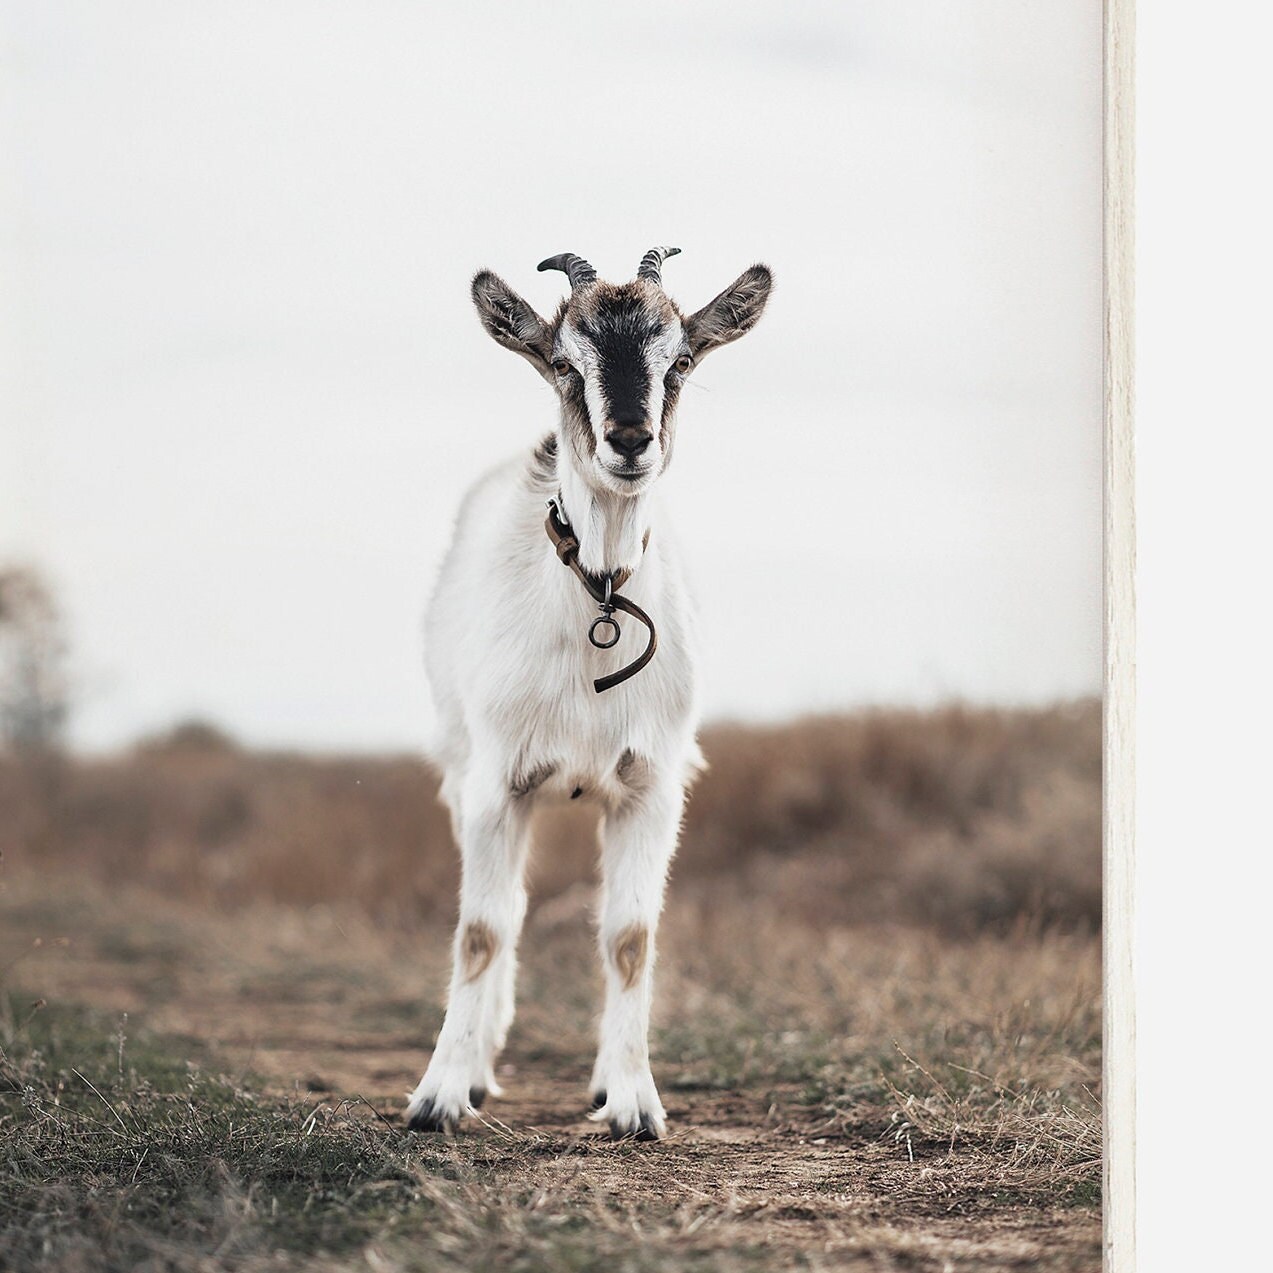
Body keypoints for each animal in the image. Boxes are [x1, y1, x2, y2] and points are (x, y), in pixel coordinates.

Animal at [406, 247, 772, 1140]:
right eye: (563, 363)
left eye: (680, 361)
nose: (630, 440)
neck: (598, 591)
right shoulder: (496, 784)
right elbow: (480, 930)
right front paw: (439, 1095)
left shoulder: (651, 786)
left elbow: (629, 936)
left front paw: (633, 1101)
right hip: (461, 769)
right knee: (502, 913)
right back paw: (478, 1064)